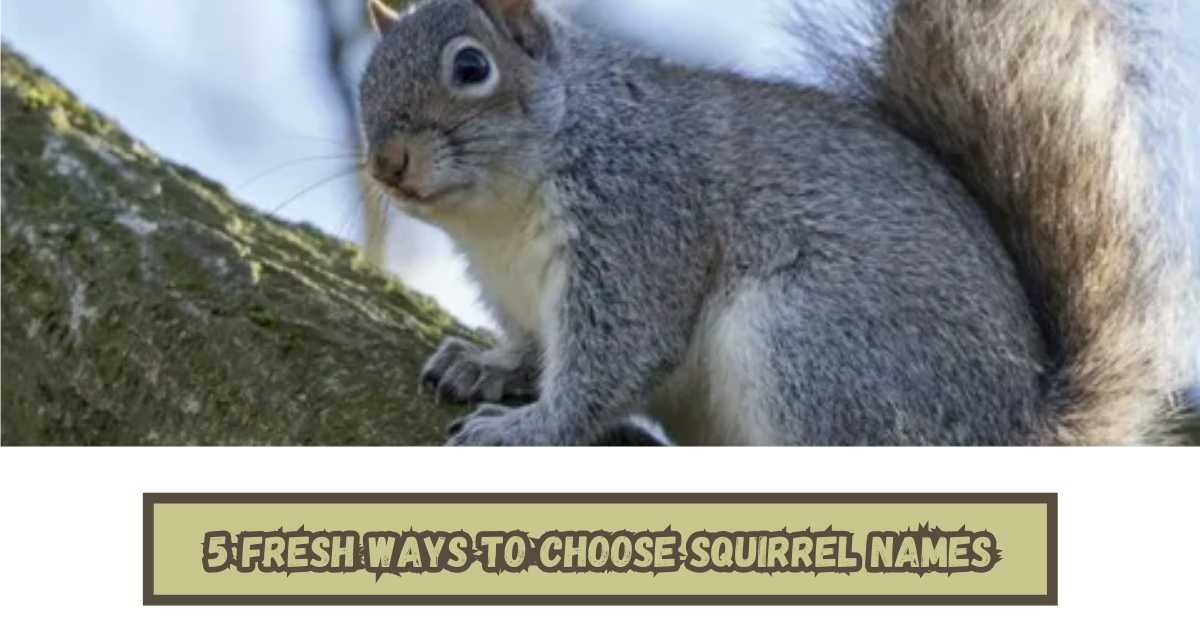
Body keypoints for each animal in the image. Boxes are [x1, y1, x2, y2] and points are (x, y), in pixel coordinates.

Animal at [359, 0, 1198, 445]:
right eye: (366, 83)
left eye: (472, 68)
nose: (388, 161)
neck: (496, 219)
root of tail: (1018, 430)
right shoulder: (513, 289)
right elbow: (530, 345)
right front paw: (485, 365)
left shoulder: (639, 223)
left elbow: (612, 365)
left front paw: (526, 428)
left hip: (817, 344)